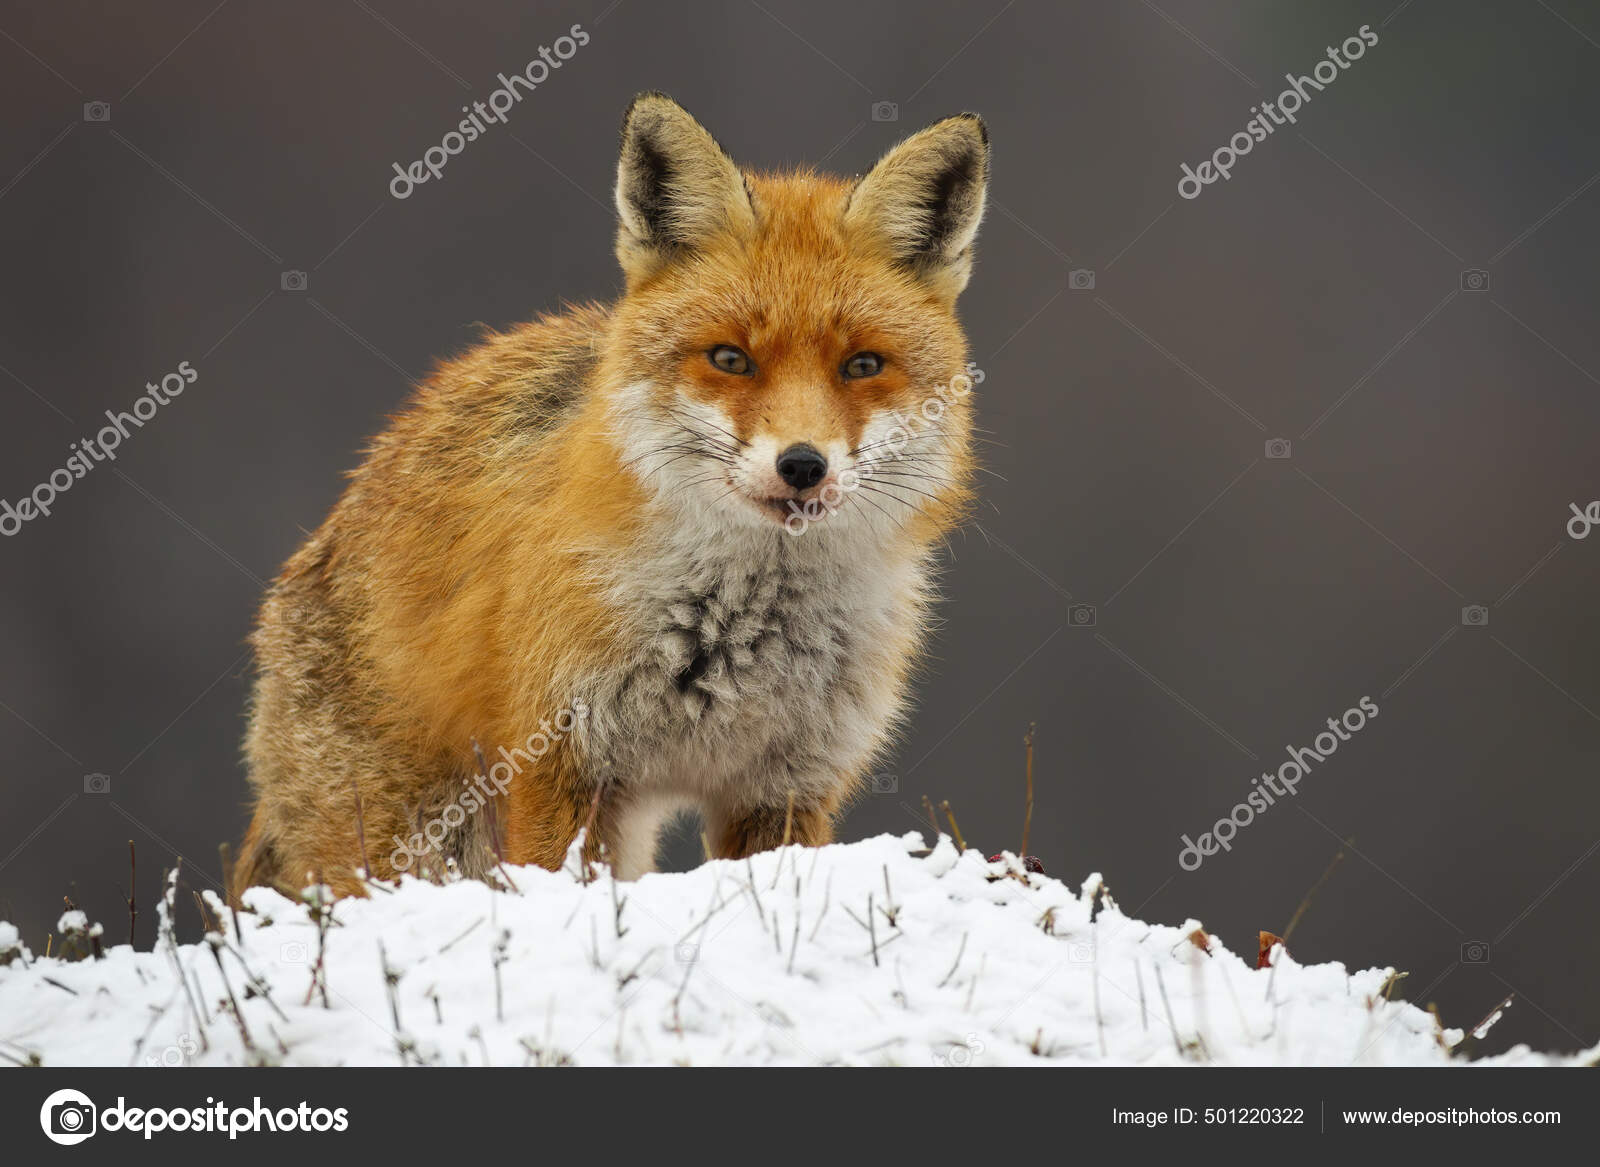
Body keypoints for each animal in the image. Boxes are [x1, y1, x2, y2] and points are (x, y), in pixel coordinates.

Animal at [230, 93, 989, 901]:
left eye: (863, 365)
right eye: (730, 359)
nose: (803, 465)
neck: (745, 627)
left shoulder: (787, 784)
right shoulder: (557, 755)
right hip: (422, 842)